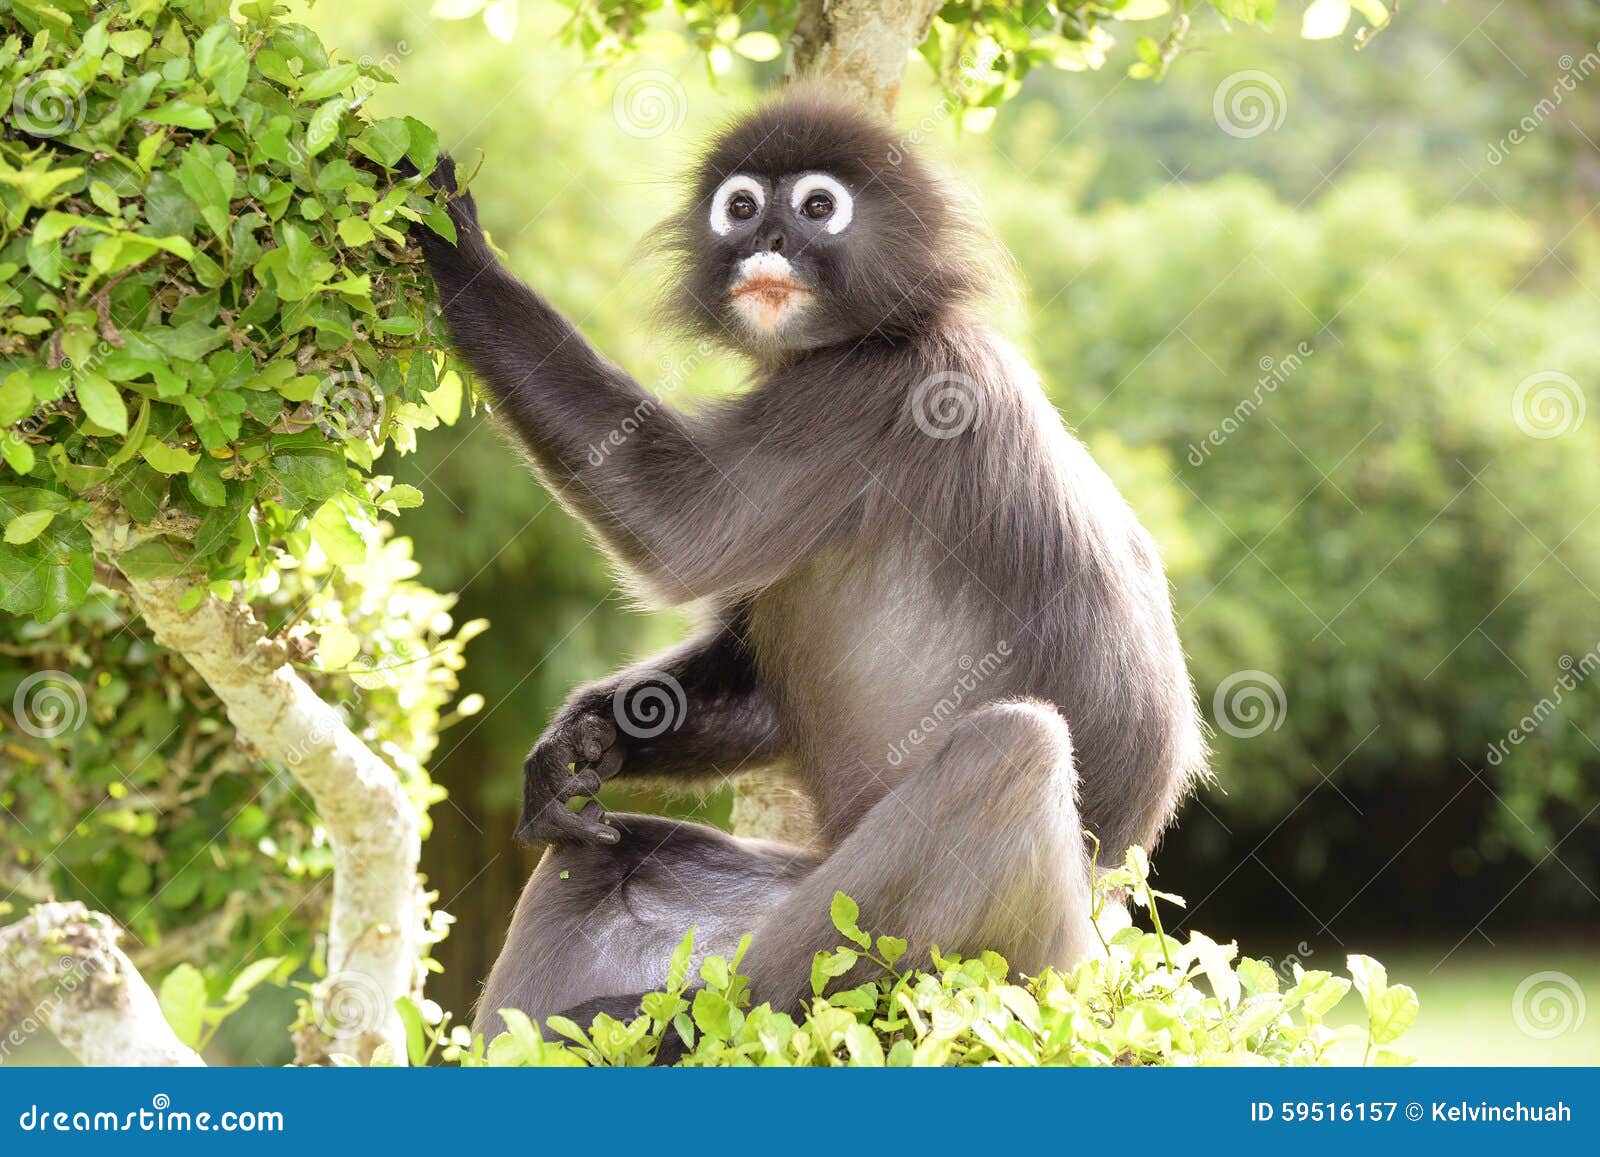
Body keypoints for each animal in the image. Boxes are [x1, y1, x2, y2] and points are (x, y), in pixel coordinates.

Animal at [415, 87, 1208, 1044]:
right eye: (742, 206)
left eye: (818, 206)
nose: (768, 241)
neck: (897, 332)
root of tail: (1101, 938)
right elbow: (750, 694)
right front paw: (585, 738)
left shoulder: (872, 396)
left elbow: (678, 524)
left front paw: (448, 246)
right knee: (609, 863)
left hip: (978, 965)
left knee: (1010, 751)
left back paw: (686, 1027)